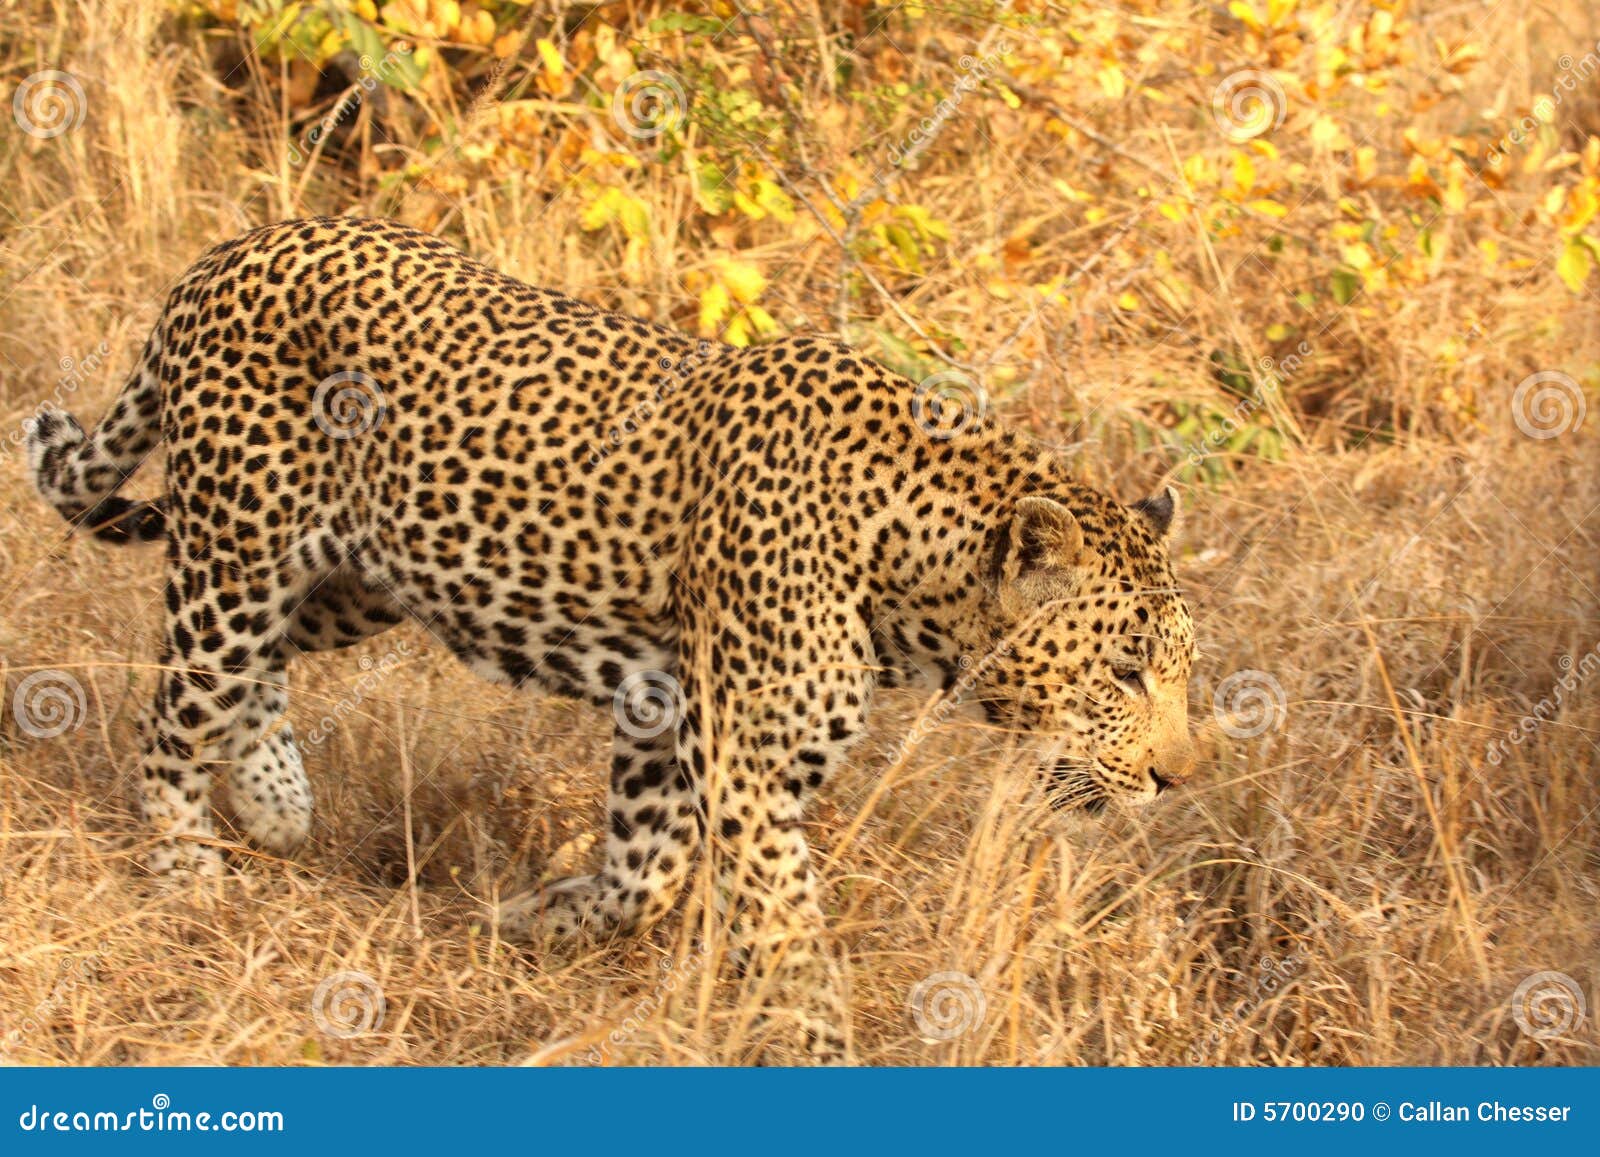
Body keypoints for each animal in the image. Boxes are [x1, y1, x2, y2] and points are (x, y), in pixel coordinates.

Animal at [25, 216, 1197, 1062]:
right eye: (1126, 671)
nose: (1178, 779)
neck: (910, 572)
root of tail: (230, 250)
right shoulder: (742, 761)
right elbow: (787, 943)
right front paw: (820, 1051)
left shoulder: (666, 718)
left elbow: (647, 873)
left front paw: (536, 917)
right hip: (242, 547)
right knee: (175, 711)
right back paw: (188, 872)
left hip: (370, 570)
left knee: (254, 665)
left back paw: (273, 794)